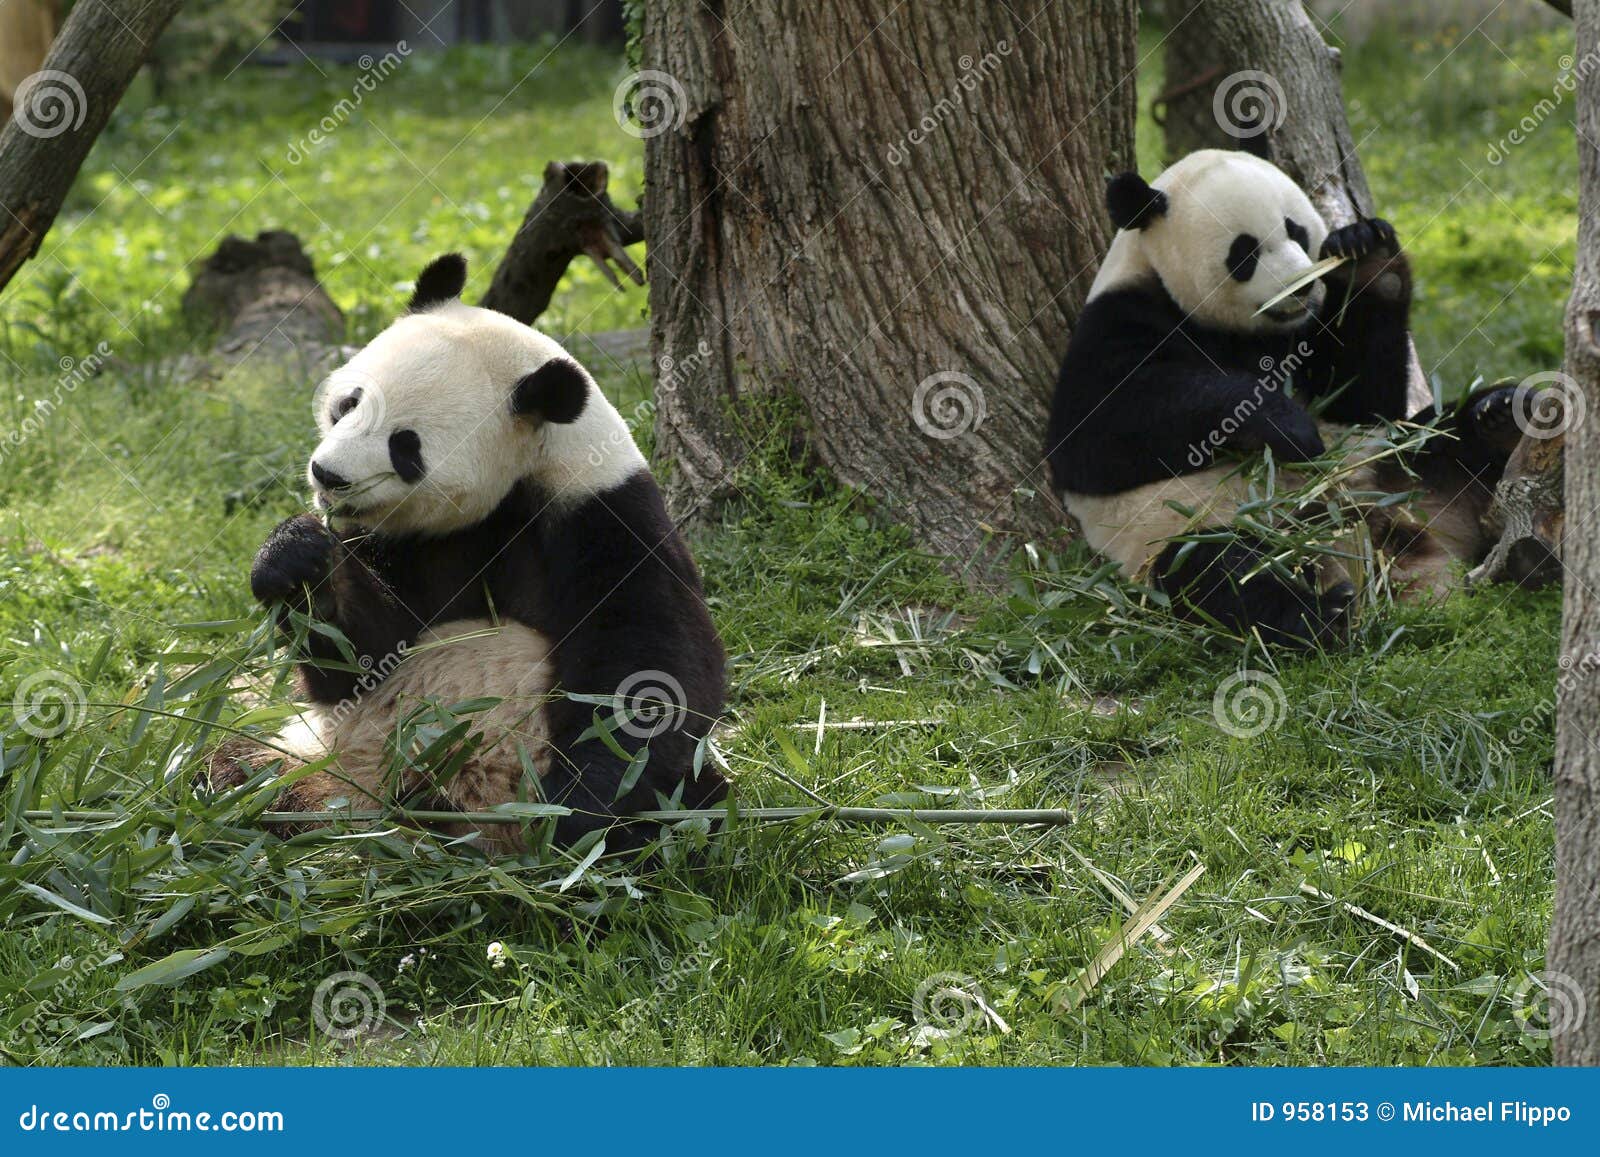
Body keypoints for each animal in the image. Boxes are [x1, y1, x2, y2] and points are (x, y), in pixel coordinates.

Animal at [207, 254, 726, 852]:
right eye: (349, 403)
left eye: (405, 446)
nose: (327, 475)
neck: (523, 477)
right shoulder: (406, 541)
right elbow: (361, 661)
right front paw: (296, 560)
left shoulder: (604, 517)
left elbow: (651, 672)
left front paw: (575, 811)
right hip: (314, 754)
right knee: (230, 767)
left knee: (695, 806)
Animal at [1045, 149, 1523, 646]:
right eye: (1245, 251)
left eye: (1296, 230)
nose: (1302, 286)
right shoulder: (1117, 319)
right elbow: (1096, 434)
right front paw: (1286, 427)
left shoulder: (1308, 339)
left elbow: (1365, 402)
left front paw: (1369, 260)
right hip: (1193, 527)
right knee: (1223, 576)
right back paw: (1324, 614)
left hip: (1391, 466)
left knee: (1440, 437)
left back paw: (1501, 418)